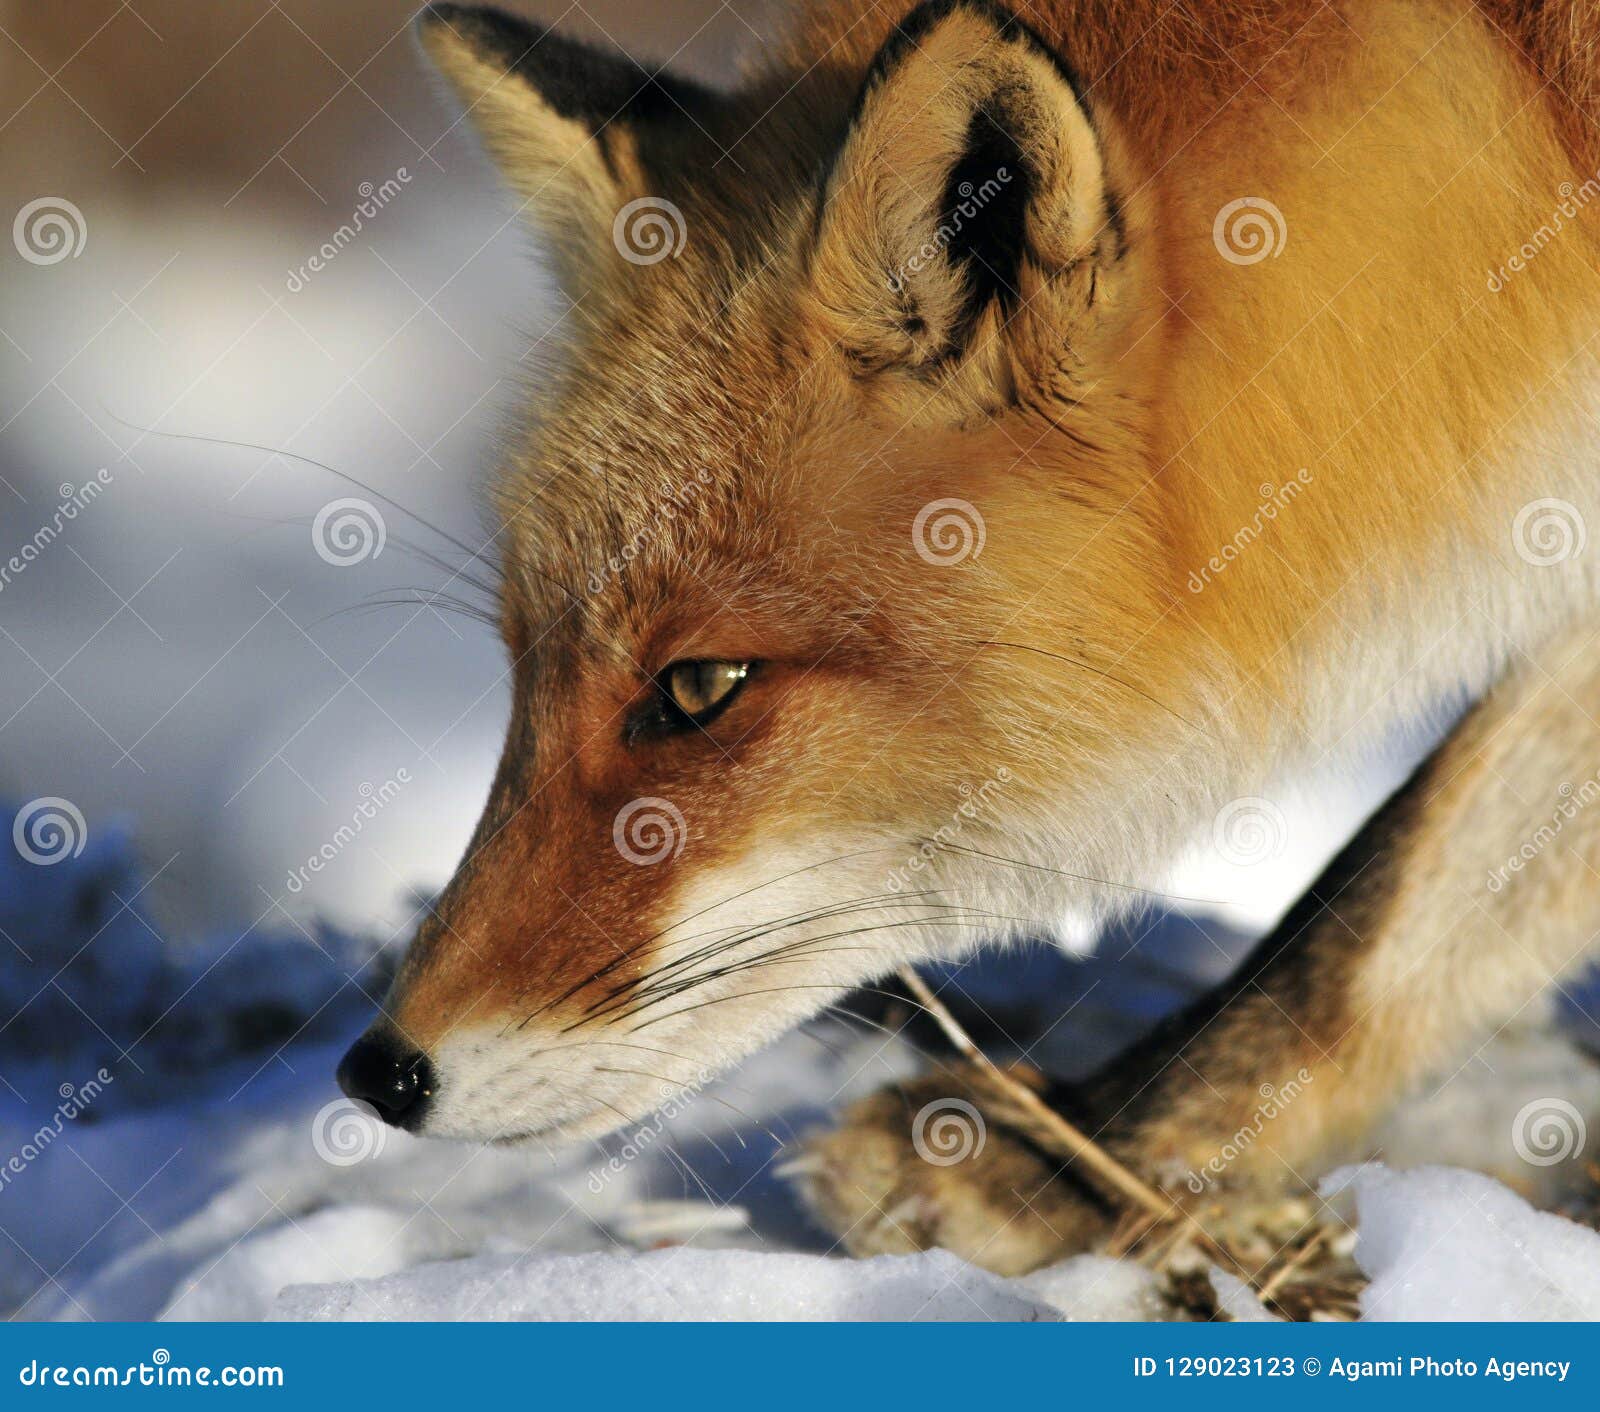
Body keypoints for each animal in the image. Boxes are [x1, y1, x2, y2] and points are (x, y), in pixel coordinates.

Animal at [337, 0, 1600, 1276]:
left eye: (700, 685)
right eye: (521, 666)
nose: (378, 1072)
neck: (1537, 107)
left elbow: (1380, 890)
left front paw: (1085, 1159)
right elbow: (1402, 907)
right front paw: (1084, 1167)